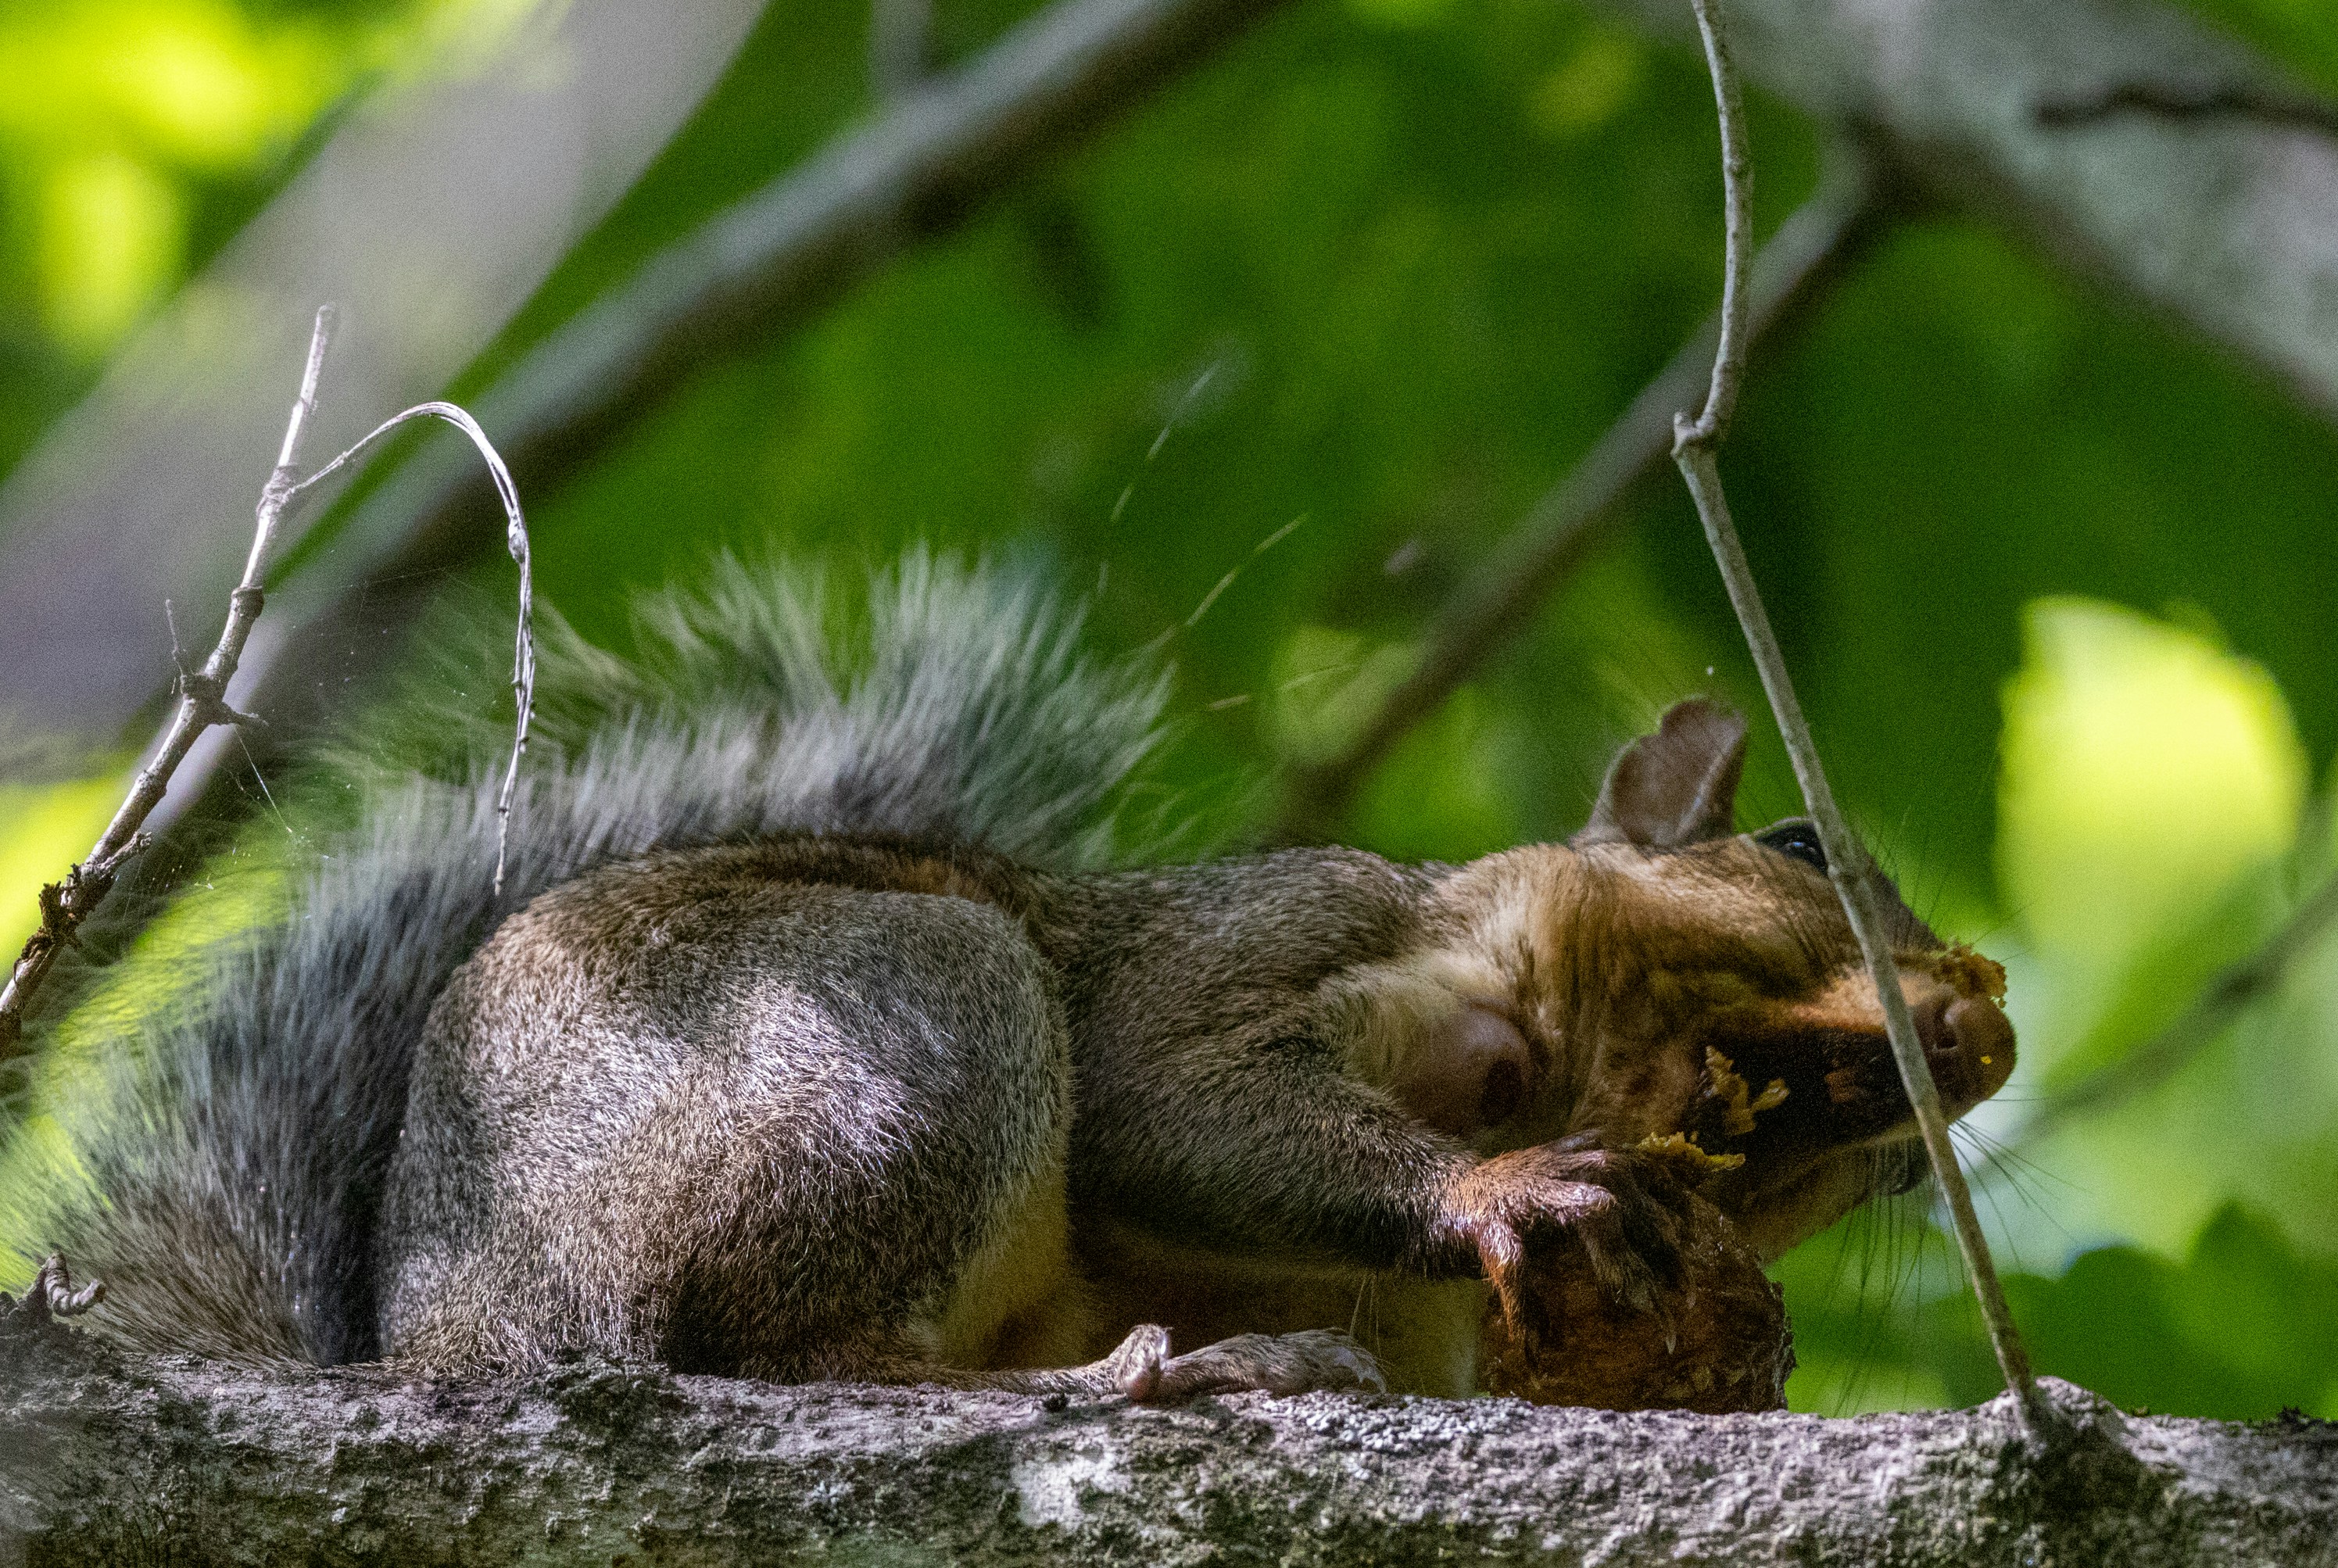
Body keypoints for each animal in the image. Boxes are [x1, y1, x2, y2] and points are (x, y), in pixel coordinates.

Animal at [0, 554, 2014, 1402]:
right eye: (1799, 846)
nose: (1983, 1028)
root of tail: (443, 1322)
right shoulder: (1267, 942)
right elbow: (1159, 1096)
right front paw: (1507, 1185)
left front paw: (1723, 1348)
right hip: (907, 1028)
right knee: (773, 1355)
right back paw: (1131, 1372)